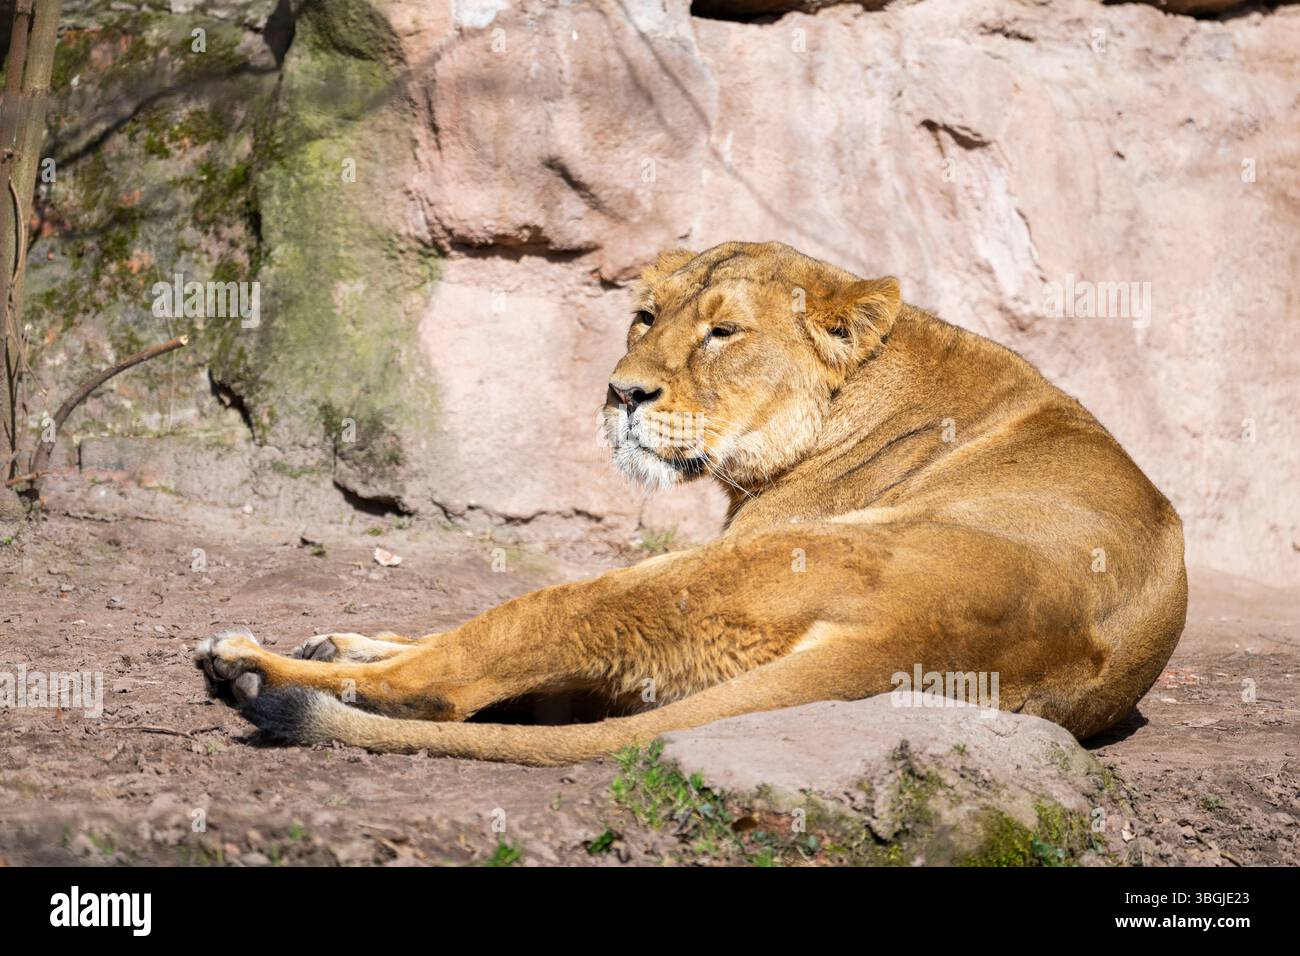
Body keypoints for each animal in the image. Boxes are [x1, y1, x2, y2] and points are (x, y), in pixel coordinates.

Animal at [195, 241, 1187, 765]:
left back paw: (250, 667)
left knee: (453, 682)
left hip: (701, 575)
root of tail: (925, 646)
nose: (621, 393)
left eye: (722, 333)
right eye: (645, 316)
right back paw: (325, 646)